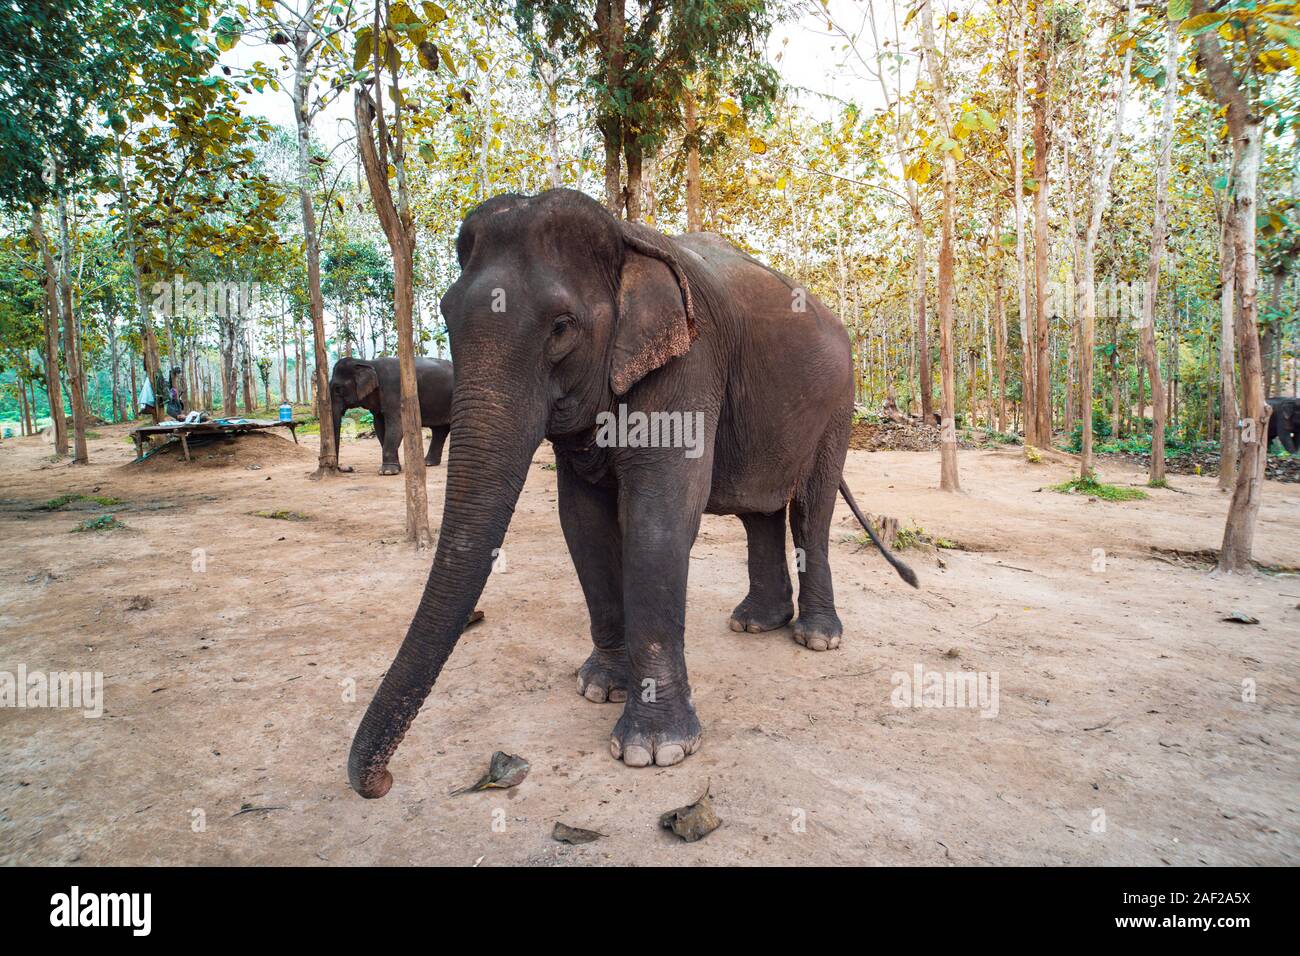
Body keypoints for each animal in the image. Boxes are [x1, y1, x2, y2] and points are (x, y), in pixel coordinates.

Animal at [347, 188, 916, 799]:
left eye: (561, 327)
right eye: (447, 316)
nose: (380, 781)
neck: (624, 237)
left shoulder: (690, 363)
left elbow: (658, 518)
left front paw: (655, 750)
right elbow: (582, 521)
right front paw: (599, 688)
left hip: (839, 402)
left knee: (811, 506)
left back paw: (816, 638)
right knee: (758, 509)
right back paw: (756, 623)